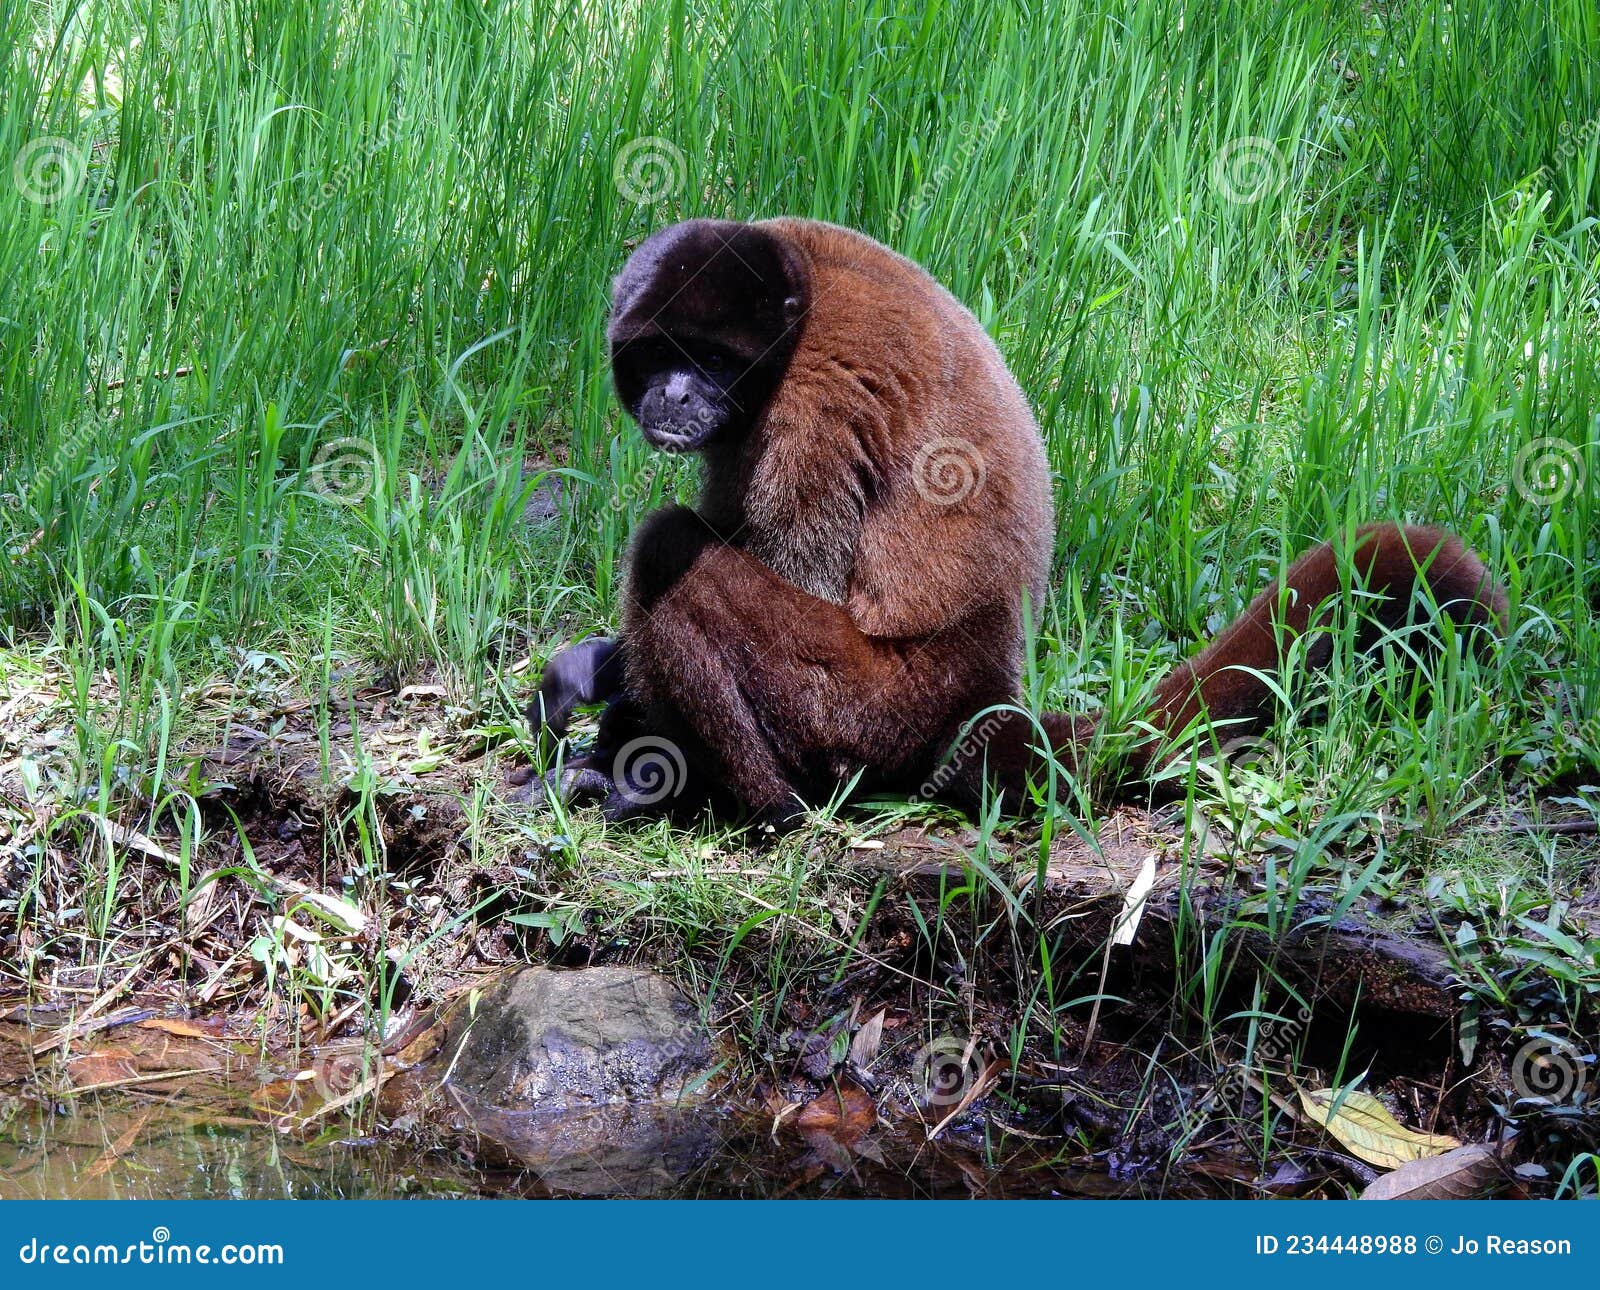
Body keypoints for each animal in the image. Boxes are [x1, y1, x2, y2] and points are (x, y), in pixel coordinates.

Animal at [527, 217, 1507, 826]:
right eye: (654, 355)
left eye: (707, 361)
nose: (673, 396)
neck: (793, 314)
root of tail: (984, 696)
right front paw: (602, 676)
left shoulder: (807, 409)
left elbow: (791, 566)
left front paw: (632, 726)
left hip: (866, 707)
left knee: (668, 549)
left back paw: (756, 805)